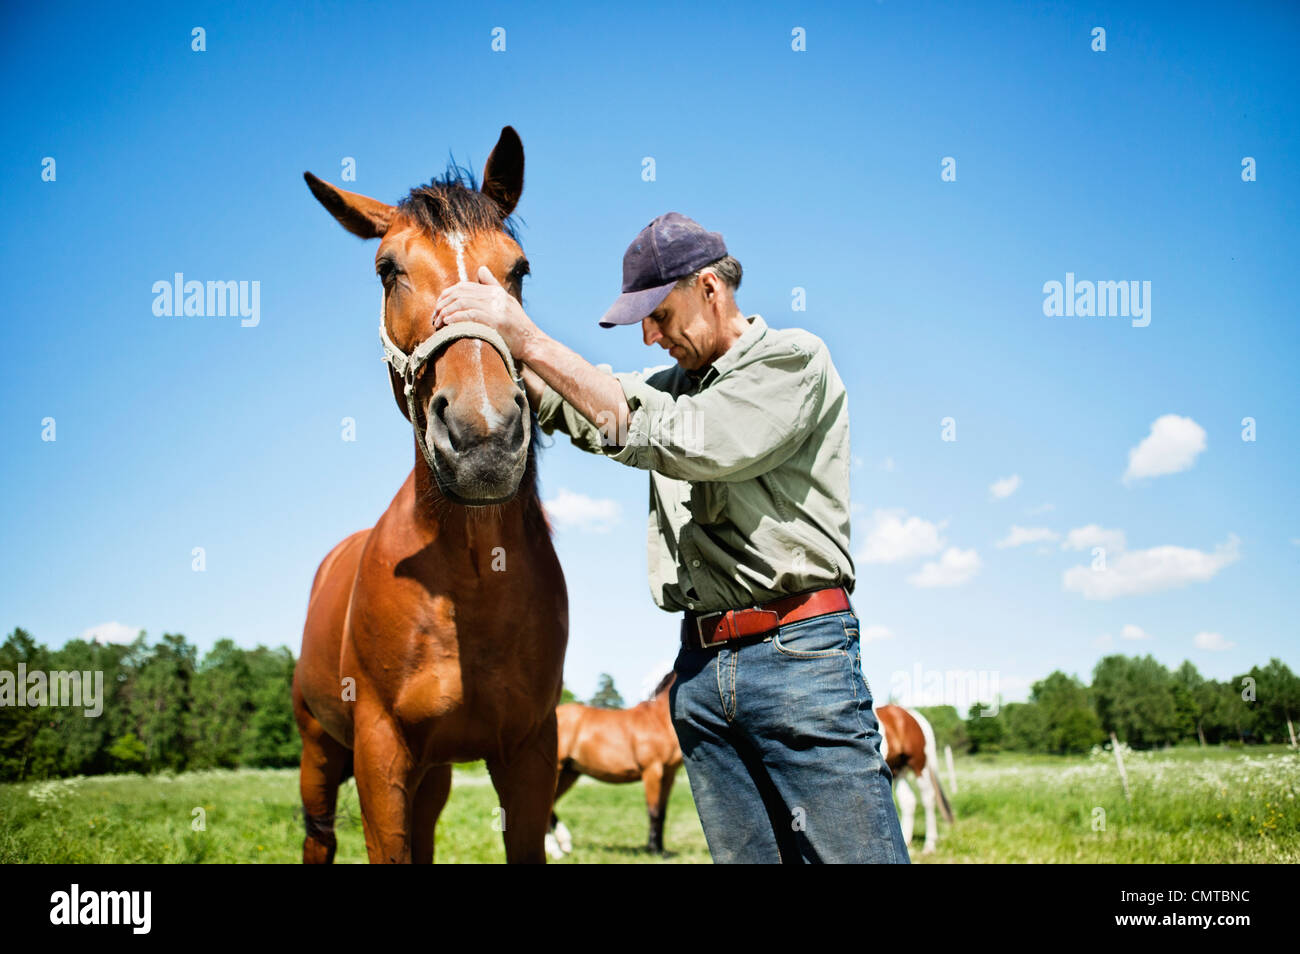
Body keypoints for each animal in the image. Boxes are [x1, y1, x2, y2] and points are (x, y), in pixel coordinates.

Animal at [291, 127, 568, 864]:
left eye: (519, 268)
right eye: (388, 268)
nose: (483, 435)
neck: (469, 584)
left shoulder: (529, 751)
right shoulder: (379, 751)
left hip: (434, 773)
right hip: (318, 749)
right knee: (318, 835)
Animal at [545, 672, 682, 857]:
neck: (658, 720)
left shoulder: (669, 775)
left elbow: (661, 812)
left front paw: (661, 849)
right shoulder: (652, 771)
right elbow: (653, 812)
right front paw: (653, 850)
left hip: (569, 773)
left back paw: (564, 844)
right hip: (558, 770)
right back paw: (555, 849)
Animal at [876, 704, 955, 854]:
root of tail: (910, 714)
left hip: (918, 765)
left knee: (928, 798)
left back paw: (929, 845)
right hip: (898, 770)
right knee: (908, 801)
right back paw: (906, 842)